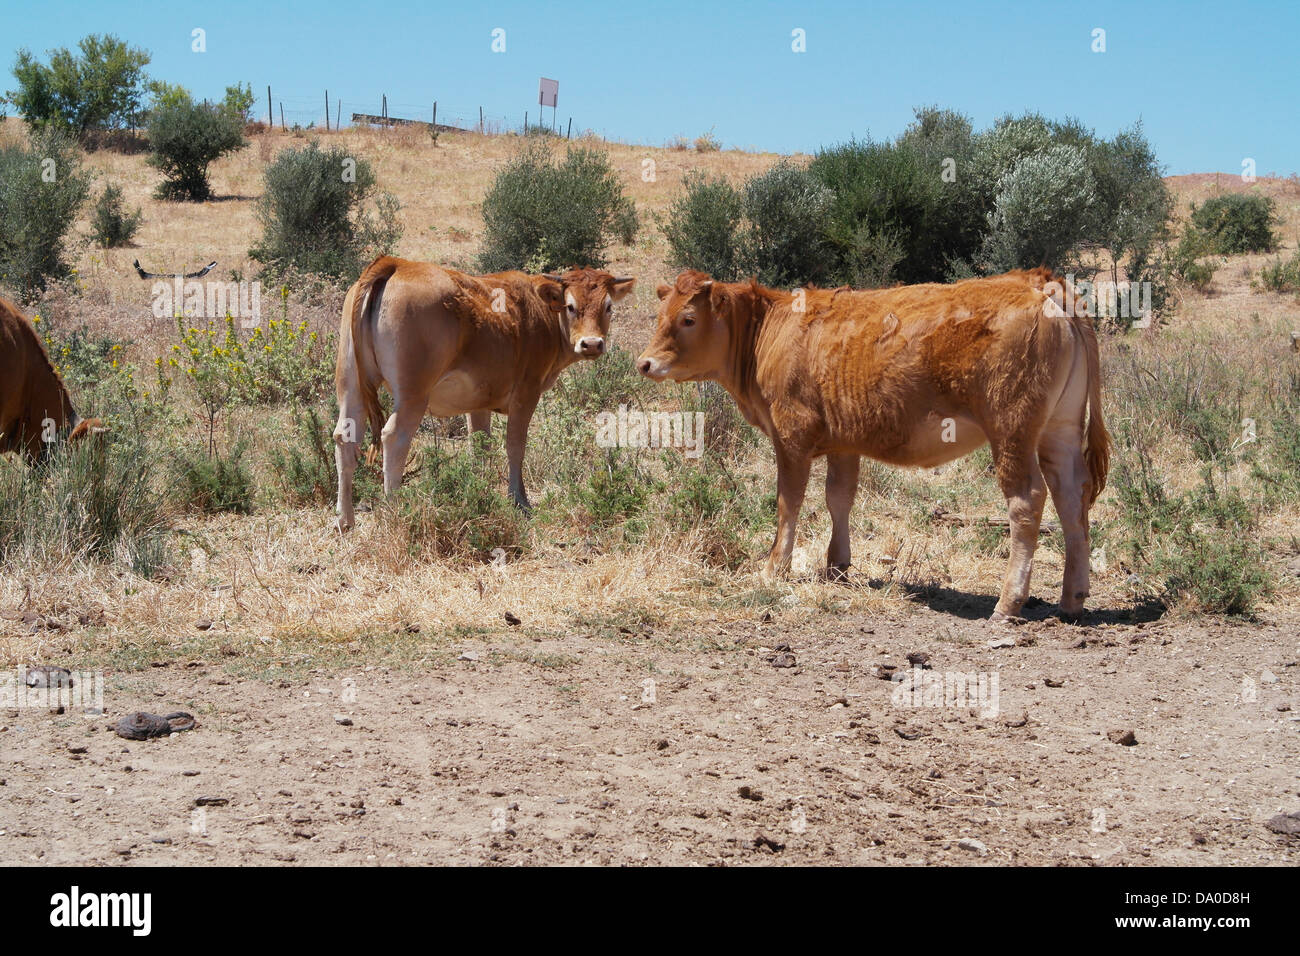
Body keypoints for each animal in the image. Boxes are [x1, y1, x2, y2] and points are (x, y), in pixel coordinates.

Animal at [333, 256, 635, 531]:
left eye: (608, 307)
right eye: (570, 306)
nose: (592, 344)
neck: (541, 311)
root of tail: (396, 263)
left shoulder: (478, 403)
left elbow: (480, 448)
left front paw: (479, 494)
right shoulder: (527, 393)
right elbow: (515, 446)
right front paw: (519, 501)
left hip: (351, 387)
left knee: (344, 438)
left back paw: (345, 520)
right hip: (412, 395)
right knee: (394, 438)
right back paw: (395, 515)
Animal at [636, 268, 1110, 622]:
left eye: (688, 319)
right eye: (660, 314)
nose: (644, 362)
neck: (769, 331)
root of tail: (1040, 282)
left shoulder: (791, 436)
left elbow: (789, 503)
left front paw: (774, 567)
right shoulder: (844, 442)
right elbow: (839, 498)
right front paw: (837, 567)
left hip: (1012, 431)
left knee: (1027, 502)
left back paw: (1008, 602)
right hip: (1059, 432)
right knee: (1072, 500)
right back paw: (1072, 599)